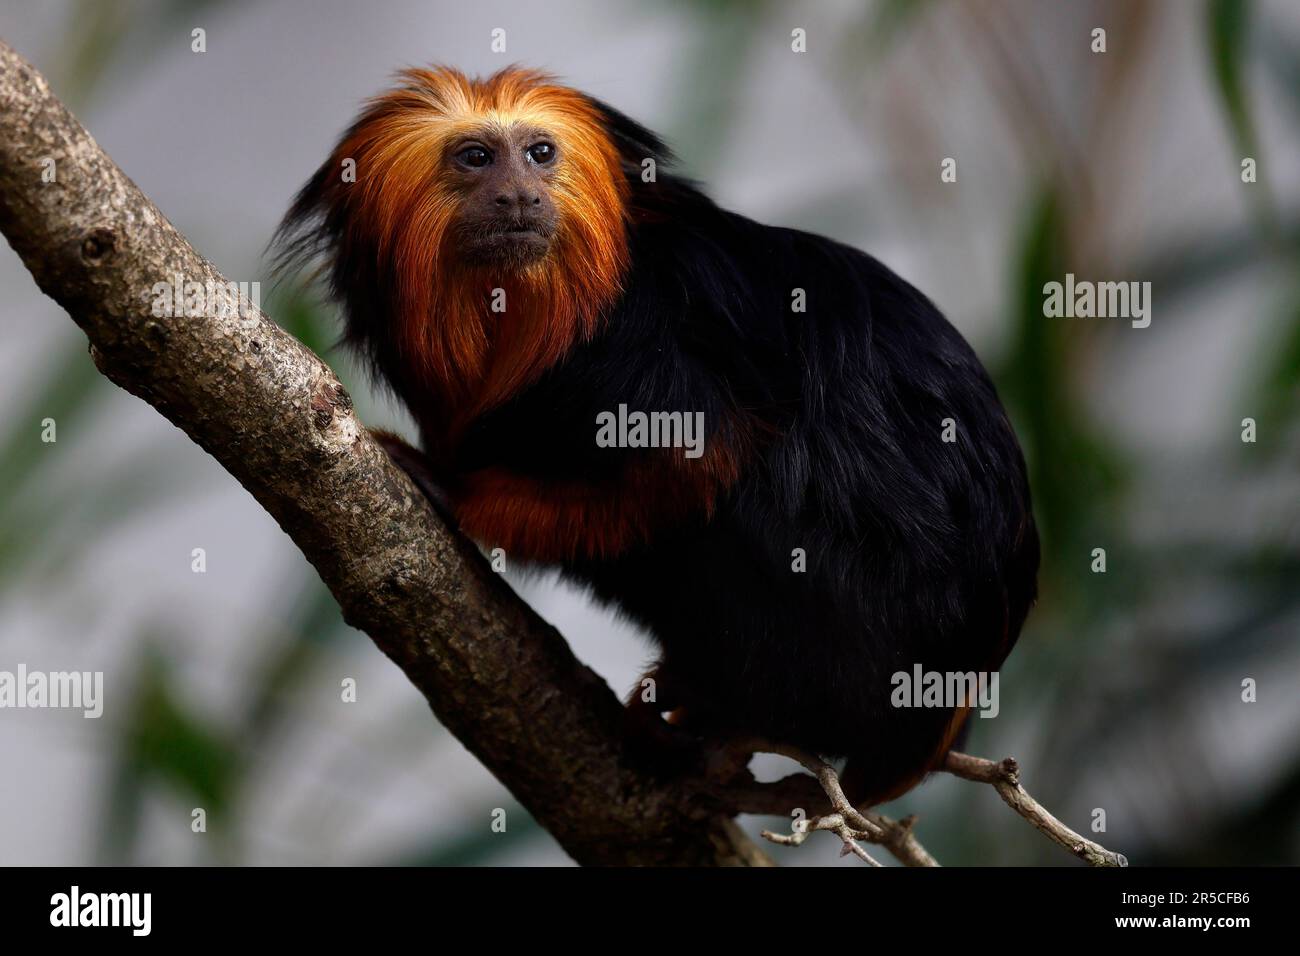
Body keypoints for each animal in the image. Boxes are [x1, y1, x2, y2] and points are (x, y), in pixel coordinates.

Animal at [273, 66, 1039, 806]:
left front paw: (459, 493)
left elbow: (694, 464)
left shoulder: (641, 344)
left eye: (540, 153)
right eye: (476, 158)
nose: (519, 197)